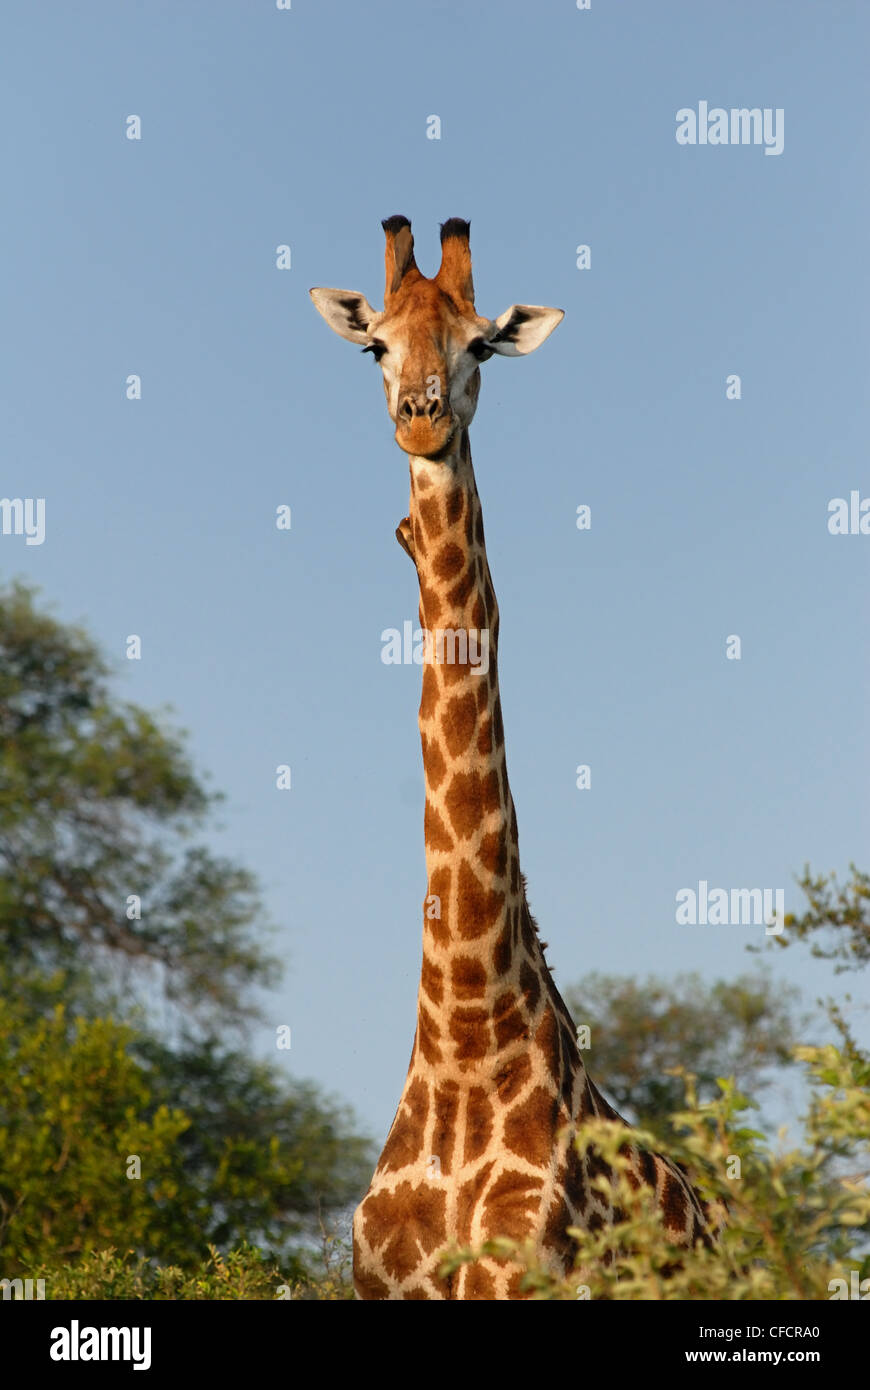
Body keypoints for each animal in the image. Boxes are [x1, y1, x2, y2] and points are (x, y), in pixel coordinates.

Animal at [310, 217, 712, 1300]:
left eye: (481, 347)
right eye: (374, 345)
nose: (420, 420)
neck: (462, 1041)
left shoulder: (521, 1276)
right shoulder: (377, 1285)